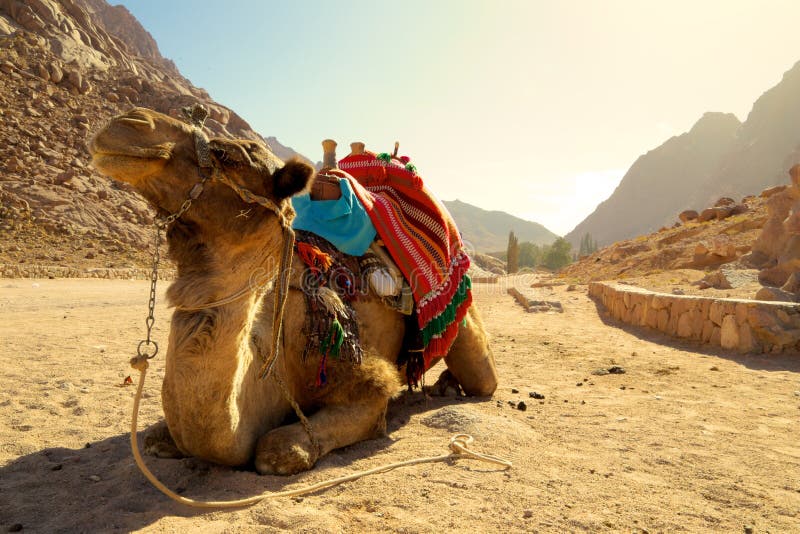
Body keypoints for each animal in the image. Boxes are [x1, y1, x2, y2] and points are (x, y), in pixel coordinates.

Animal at [90, 107, 498, 475]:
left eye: (229, 156)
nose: (130, 122)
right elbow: (155, 438)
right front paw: (161, 437)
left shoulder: (364, 383)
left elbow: (275, 448)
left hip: (462, 315)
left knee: (483, 376)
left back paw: (450, 385)